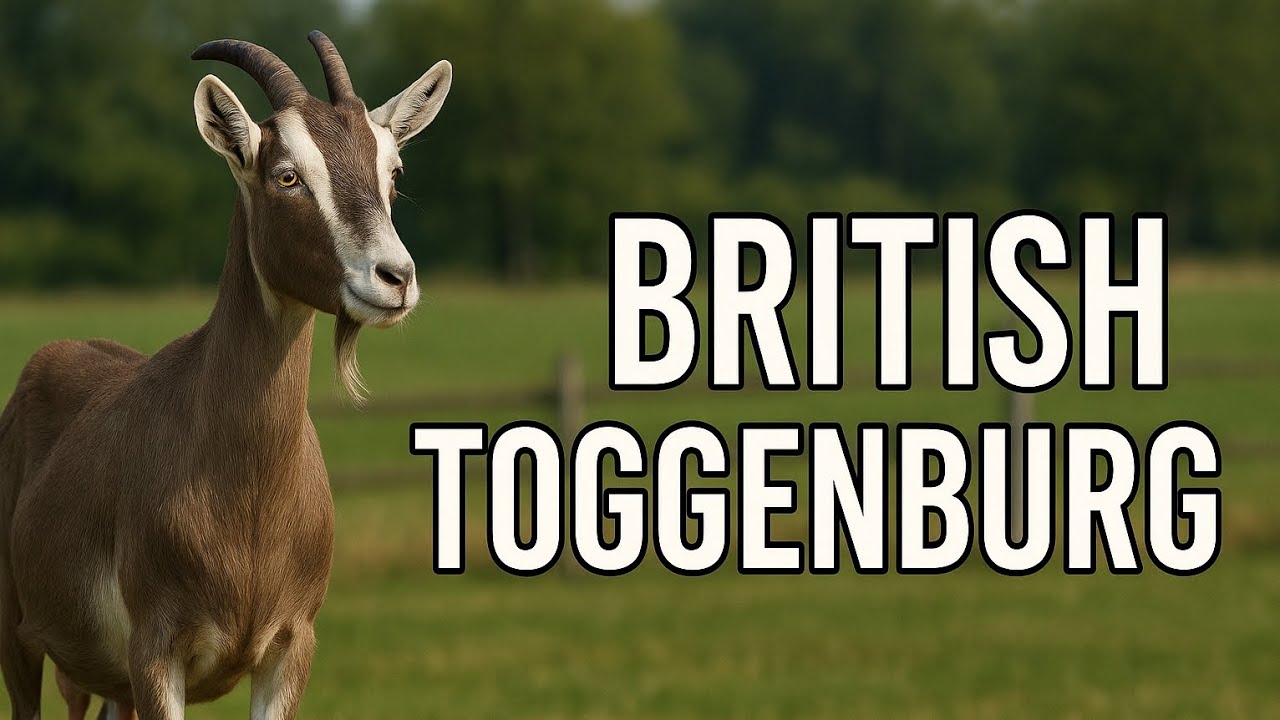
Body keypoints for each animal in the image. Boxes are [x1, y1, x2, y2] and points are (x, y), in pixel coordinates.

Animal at [0, 32, 452, 720]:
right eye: (287, 175)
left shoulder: (290, 646)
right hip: (20, 640)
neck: (245, 505)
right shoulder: (156, 651)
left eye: (393, 172)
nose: (394, 278)